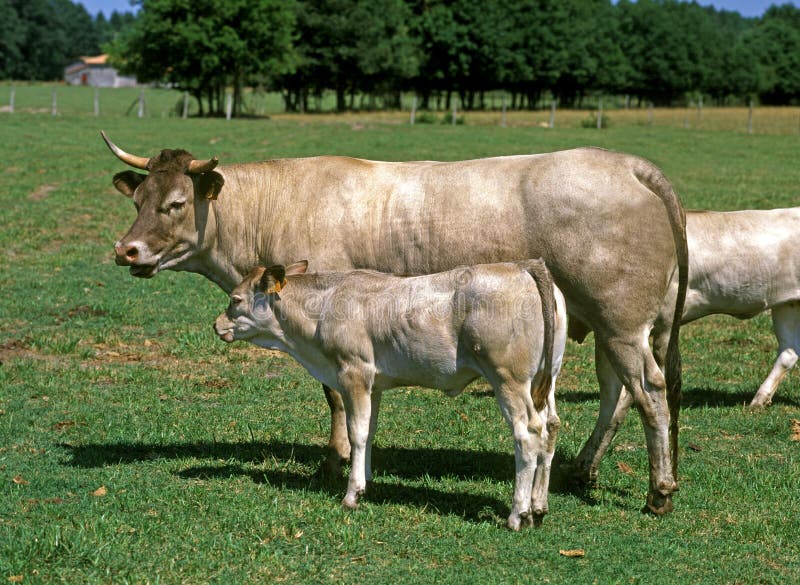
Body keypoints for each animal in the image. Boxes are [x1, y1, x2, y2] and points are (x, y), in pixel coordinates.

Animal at [213, 259, 568, 530]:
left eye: (236, 299)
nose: (217, 324)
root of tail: (523, 265)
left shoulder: (353, 372)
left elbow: (355, 433)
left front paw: (352, 494)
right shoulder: (374, 383)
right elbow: (369, 431)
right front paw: (366, 480)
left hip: (508, 379)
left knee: (528, 434)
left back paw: (517, 514)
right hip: (545, 379)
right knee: (550, 428)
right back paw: (539, 506)